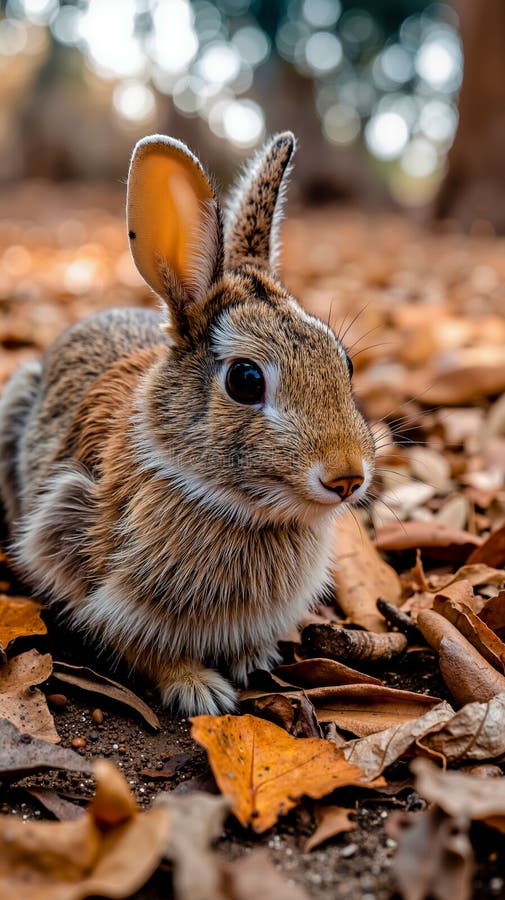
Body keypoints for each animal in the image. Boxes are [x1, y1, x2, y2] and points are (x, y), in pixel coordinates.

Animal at [0, 132, 375, 715]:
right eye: (245, 379)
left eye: (345, 363)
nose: (347, 478)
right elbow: (141, 646)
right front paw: (201, 691)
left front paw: (255, 661)